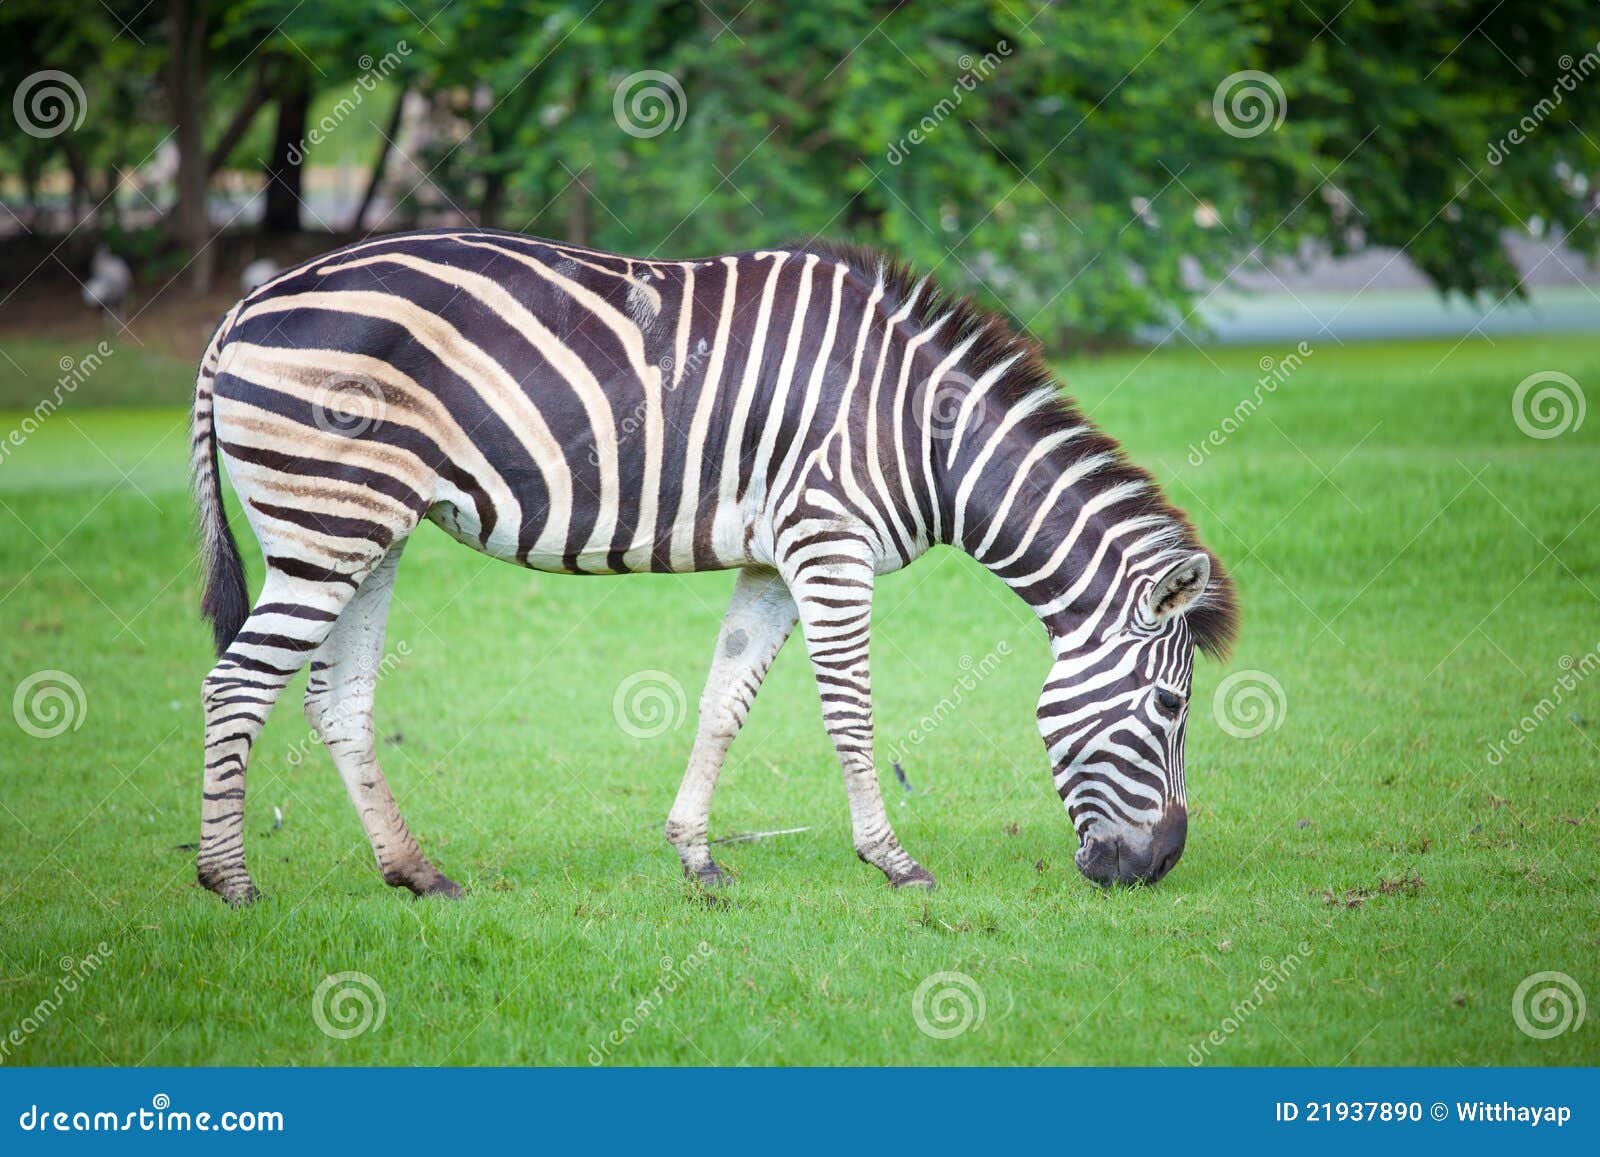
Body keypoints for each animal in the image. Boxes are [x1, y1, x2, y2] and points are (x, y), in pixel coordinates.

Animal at [190, 229, 1237, 905]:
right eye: (1173, 706)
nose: (1159, 868)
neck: (922, 432)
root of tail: (244, 303)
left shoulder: (777, 559)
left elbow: (724, 700)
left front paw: (696, 857)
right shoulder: (828, 543)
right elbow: (849, 712)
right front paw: (893, 861)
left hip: (369, 528)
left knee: (336, 698)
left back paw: (415, 872)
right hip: (326, 522)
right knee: (235, 685)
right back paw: (230, 882)